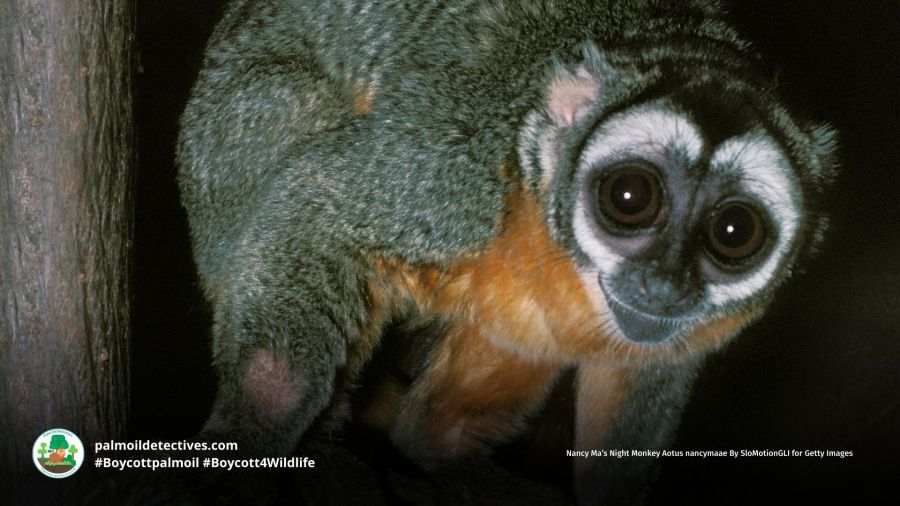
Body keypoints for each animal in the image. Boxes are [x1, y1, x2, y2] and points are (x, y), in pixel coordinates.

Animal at [176, 0, 836, 502]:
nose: (664, 282)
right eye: (631, 196)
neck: (540, 218)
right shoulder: (456, 173)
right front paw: (252, 435)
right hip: (225, 152)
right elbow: (315, 199)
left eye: (734, 231)